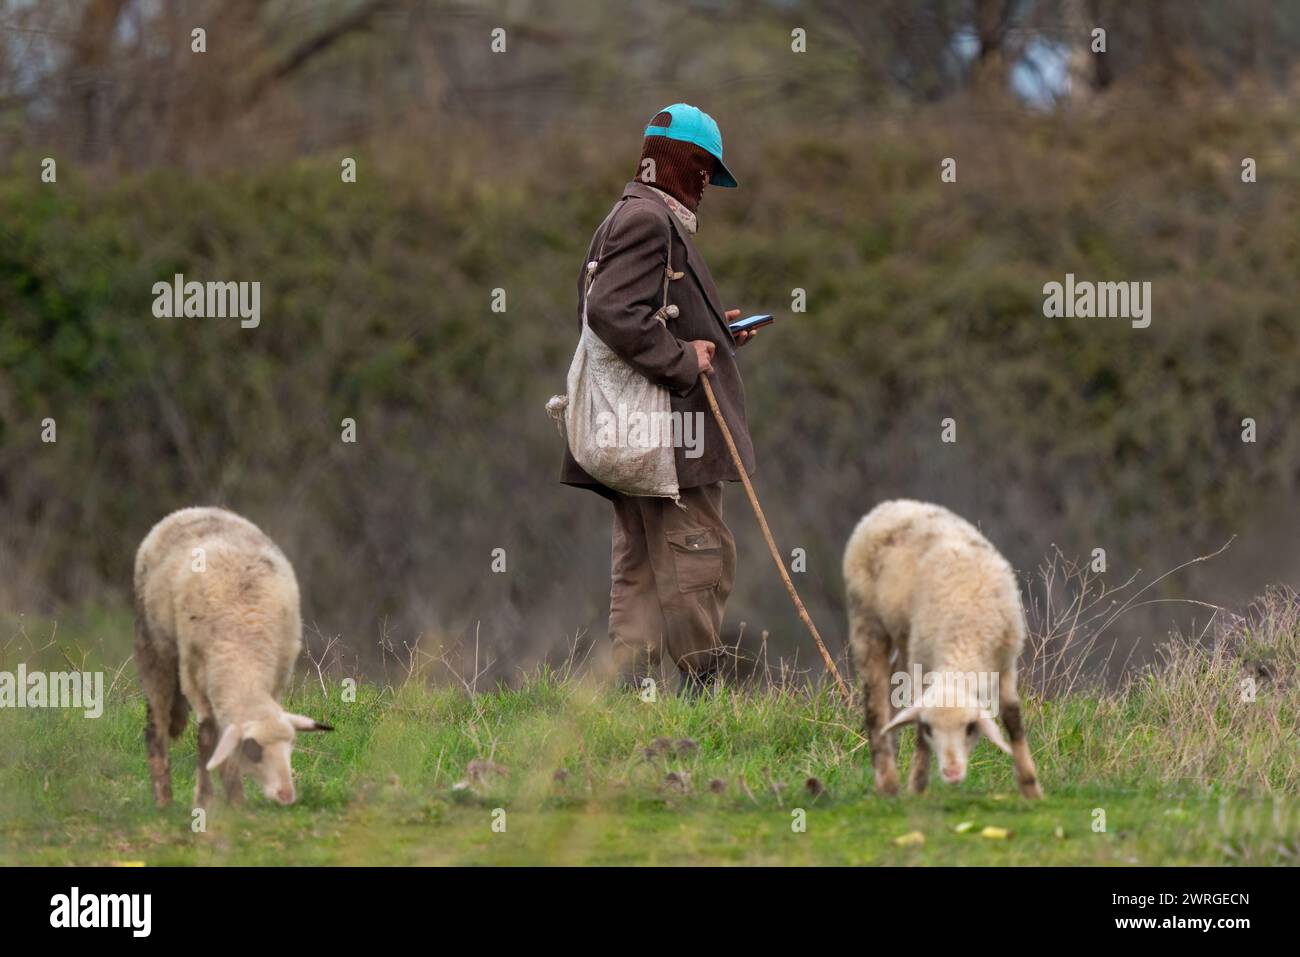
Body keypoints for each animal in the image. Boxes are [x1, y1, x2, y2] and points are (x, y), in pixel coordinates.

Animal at [133, 507, 331, 808]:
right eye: (253, 749)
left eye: (292, 745)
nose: (287, 795)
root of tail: (195, 509)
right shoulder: (196, 677)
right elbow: (207, 737)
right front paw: (205, 799)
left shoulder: (276, 681)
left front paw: (235, 800)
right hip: (154, 648)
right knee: (156, 726)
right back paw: (163, 798)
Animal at [843, 499, 1042, 798]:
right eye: (928, 729)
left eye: (970, 728)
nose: (952, 773)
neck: (964, 637)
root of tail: (889, 506)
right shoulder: (923, 667)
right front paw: (917, 786)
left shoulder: (1007, 662)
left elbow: (1012, 719)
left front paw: (1031, 788)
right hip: (866, 619)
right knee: (875, 704)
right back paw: (887, 782)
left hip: (903, 638)